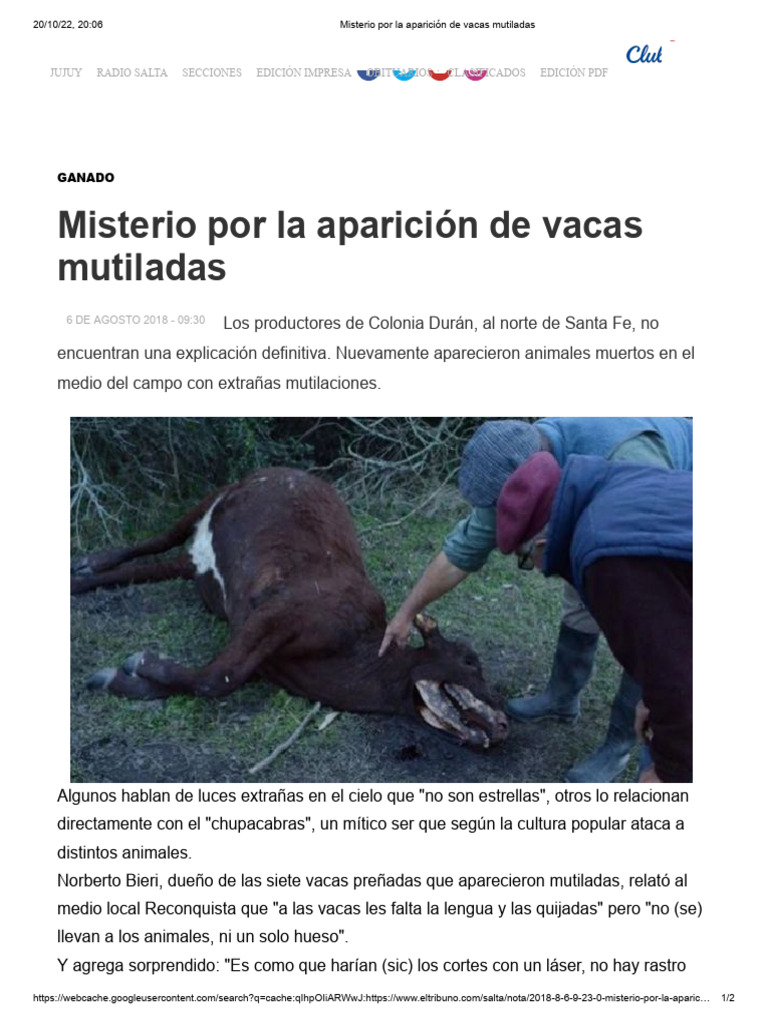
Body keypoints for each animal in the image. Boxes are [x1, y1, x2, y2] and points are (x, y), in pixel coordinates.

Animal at [71, 469, 508, 749]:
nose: (504, 721)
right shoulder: (281, 612)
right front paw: (137, 663)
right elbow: (217, 678)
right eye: (470, 661)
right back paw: (92, 561)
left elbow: (213, 677)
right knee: (157, 539)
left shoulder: (262, 649)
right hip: (215, 496)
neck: (356, 656)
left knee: (153, 566)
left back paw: (82, 579)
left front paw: (122, 679)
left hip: (196, 567)